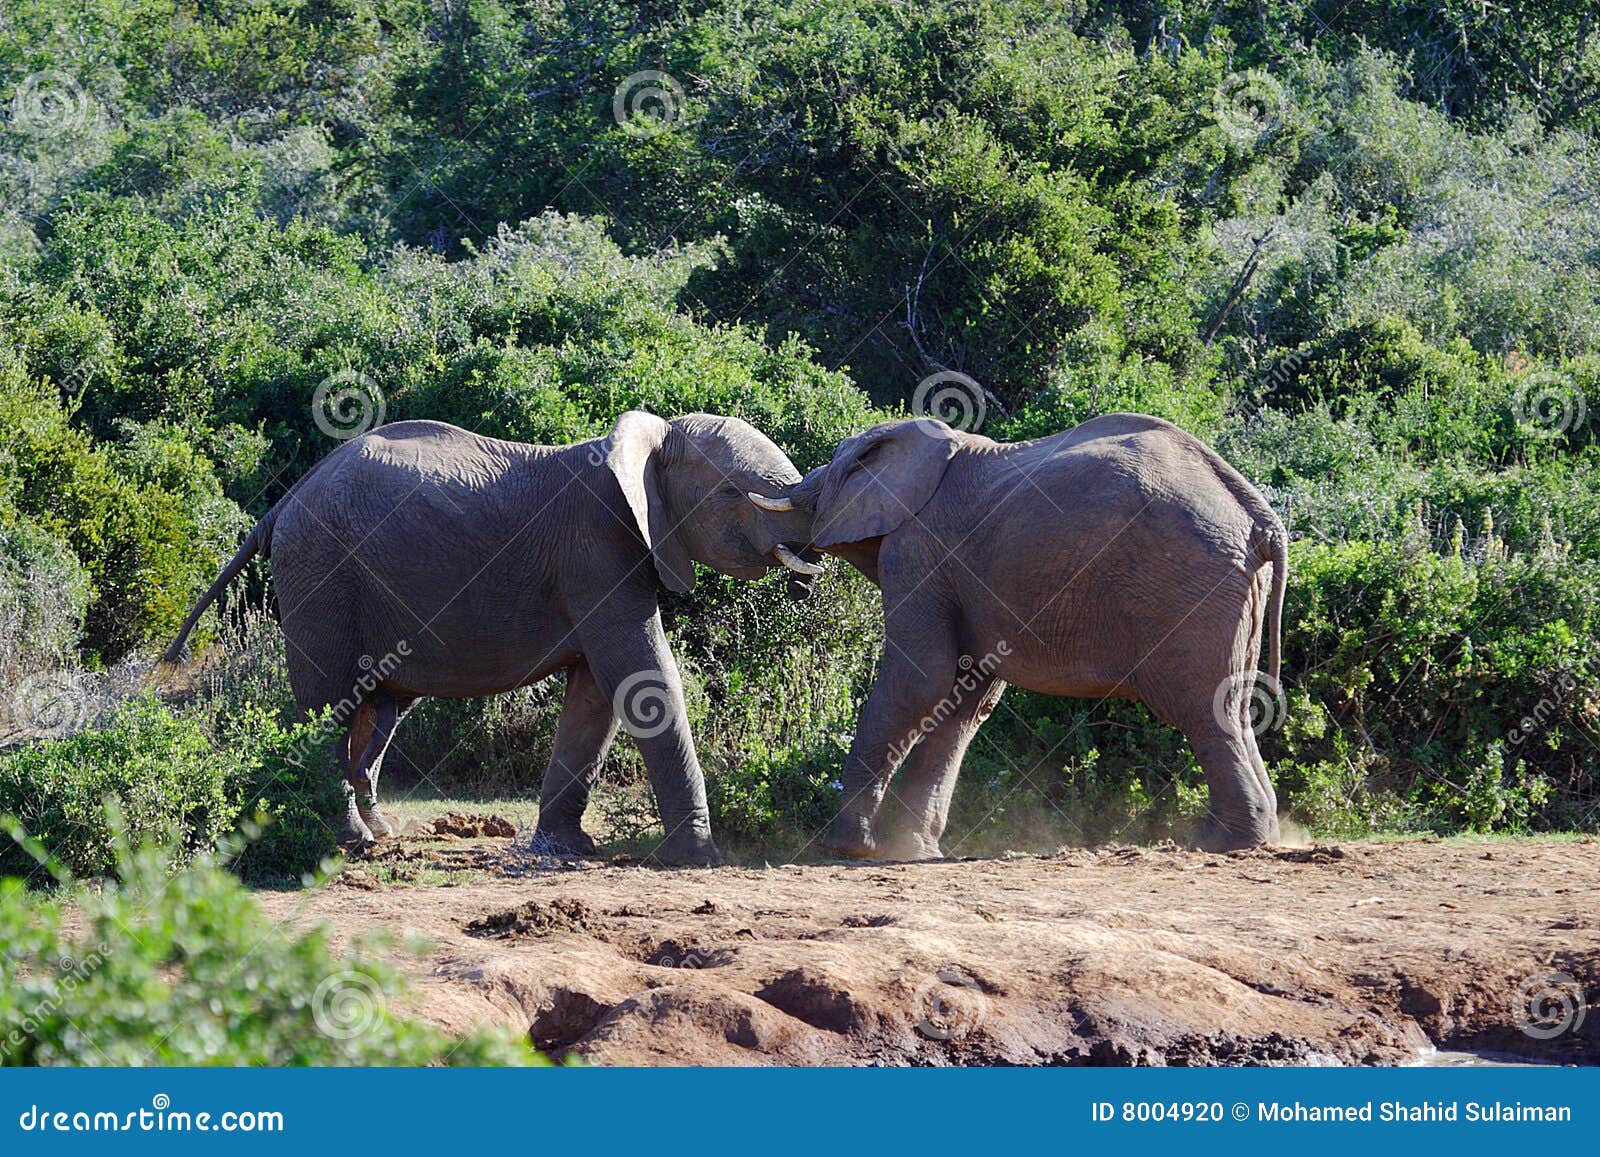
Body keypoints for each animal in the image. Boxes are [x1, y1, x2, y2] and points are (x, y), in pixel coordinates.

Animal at [163, 411, 825, 866]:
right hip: (320, 574)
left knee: (379, 709)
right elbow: (642, 677)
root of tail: (284, 503)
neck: (647, 443)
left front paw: (568, 847)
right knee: (331, 703)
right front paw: (698, 860)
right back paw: (348, 843)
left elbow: (597, 695)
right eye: (732, 493)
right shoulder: (598, 551)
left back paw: (381, 833)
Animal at [745, 411, 1287, 858]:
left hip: (1191, 584)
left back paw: (1217, 842)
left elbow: (920, 681)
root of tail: (1260, 516)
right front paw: (912, 852)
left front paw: (848, 847)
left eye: (829, 476)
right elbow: (964, 703)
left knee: (1202, 707)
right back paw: (1255, 837)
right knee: (1236, 706)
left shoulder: (918, 550)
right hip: (1233, 590)